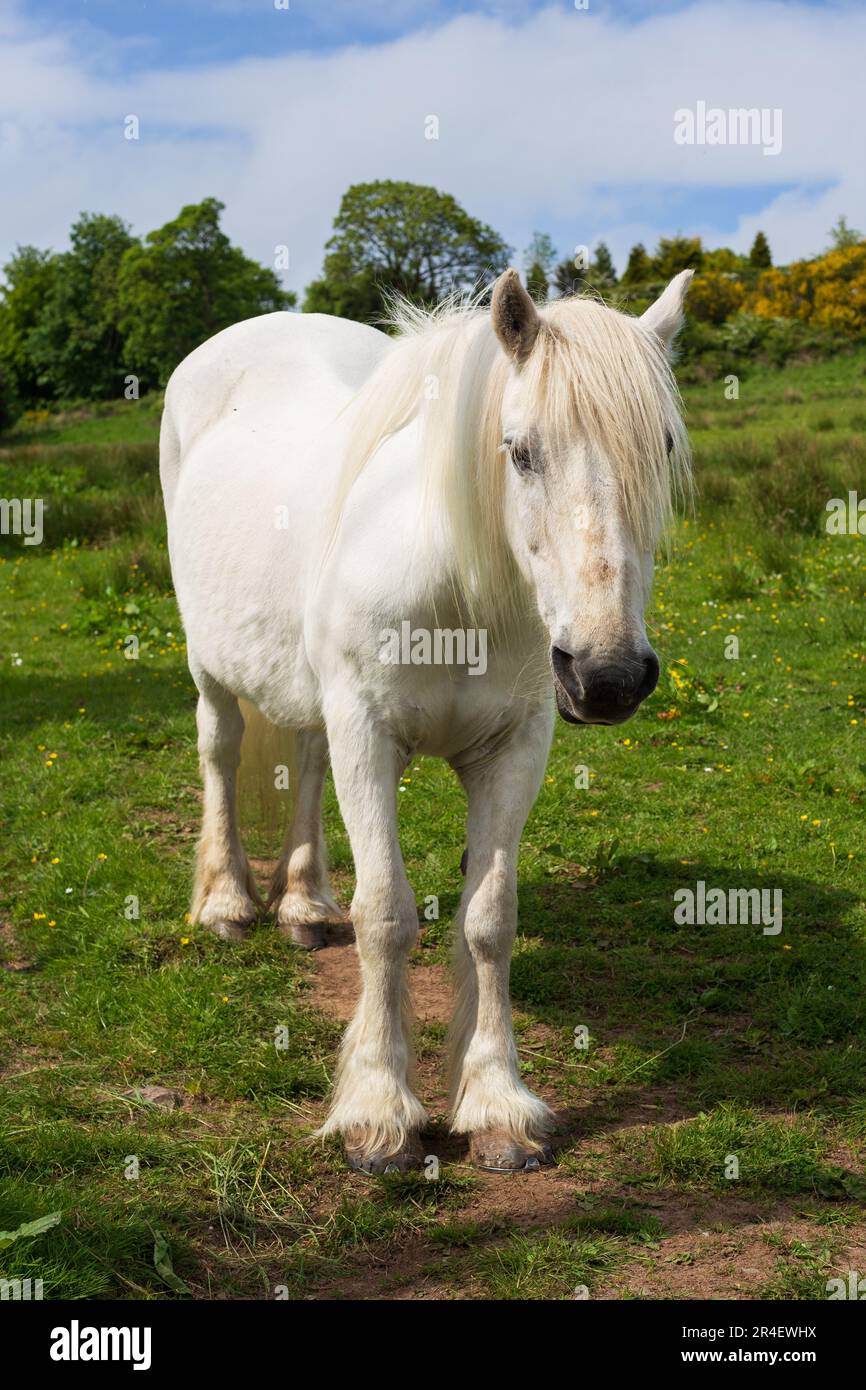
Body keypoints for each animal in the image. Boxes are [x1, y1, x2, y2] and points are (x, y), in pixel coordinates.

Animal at [159, 267, 693, 1173]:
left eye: (656, 446)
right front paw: (378, 1113)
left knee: (306, 761)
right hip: (212, 667)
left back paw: (303, 905)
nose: (607, 675)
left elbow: (489, 919)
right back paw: (230, 903)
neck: (456, 592)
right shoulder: (369, 737)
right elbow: (386, 915)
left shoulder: (515, 749)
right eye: (520, 450)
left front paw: (498, 1105)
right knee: (220, 752)